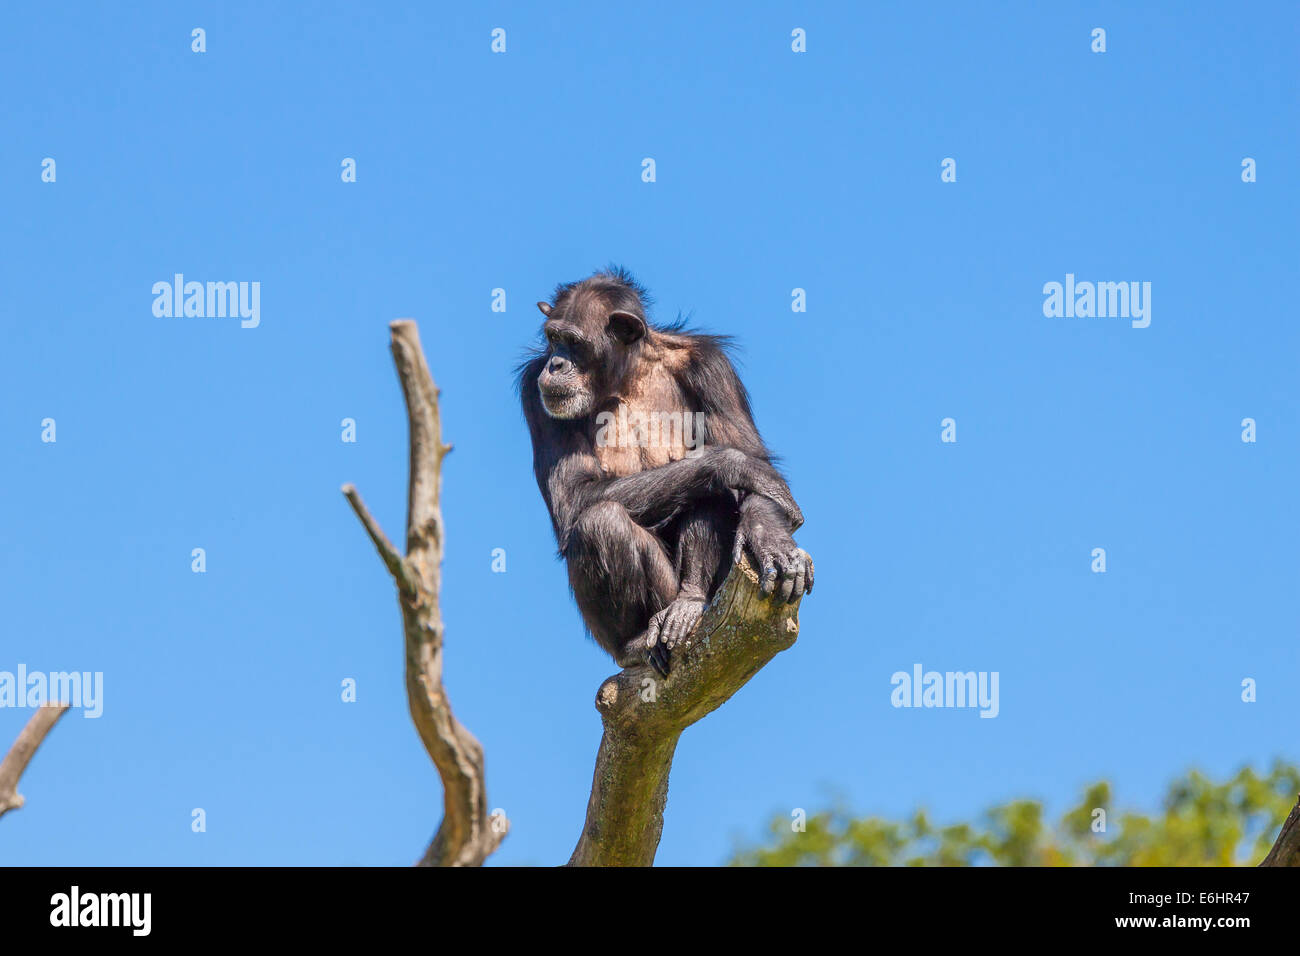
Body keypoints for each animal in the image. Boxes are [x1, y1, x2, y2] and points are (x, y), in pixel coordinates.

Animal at [518, 268, 812, 676]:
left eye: (573, 342)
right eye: (553, 338)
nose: (556, 364)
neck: (627, 375)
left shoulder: (712, 367)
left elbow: (752, 462)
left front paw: (768, 534)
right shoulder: (534, 390)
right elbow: (575, 494)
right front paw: (737, 465)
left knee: (712, 492)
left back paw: (690, 601)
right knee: (602, 522)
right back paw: (634, 644)